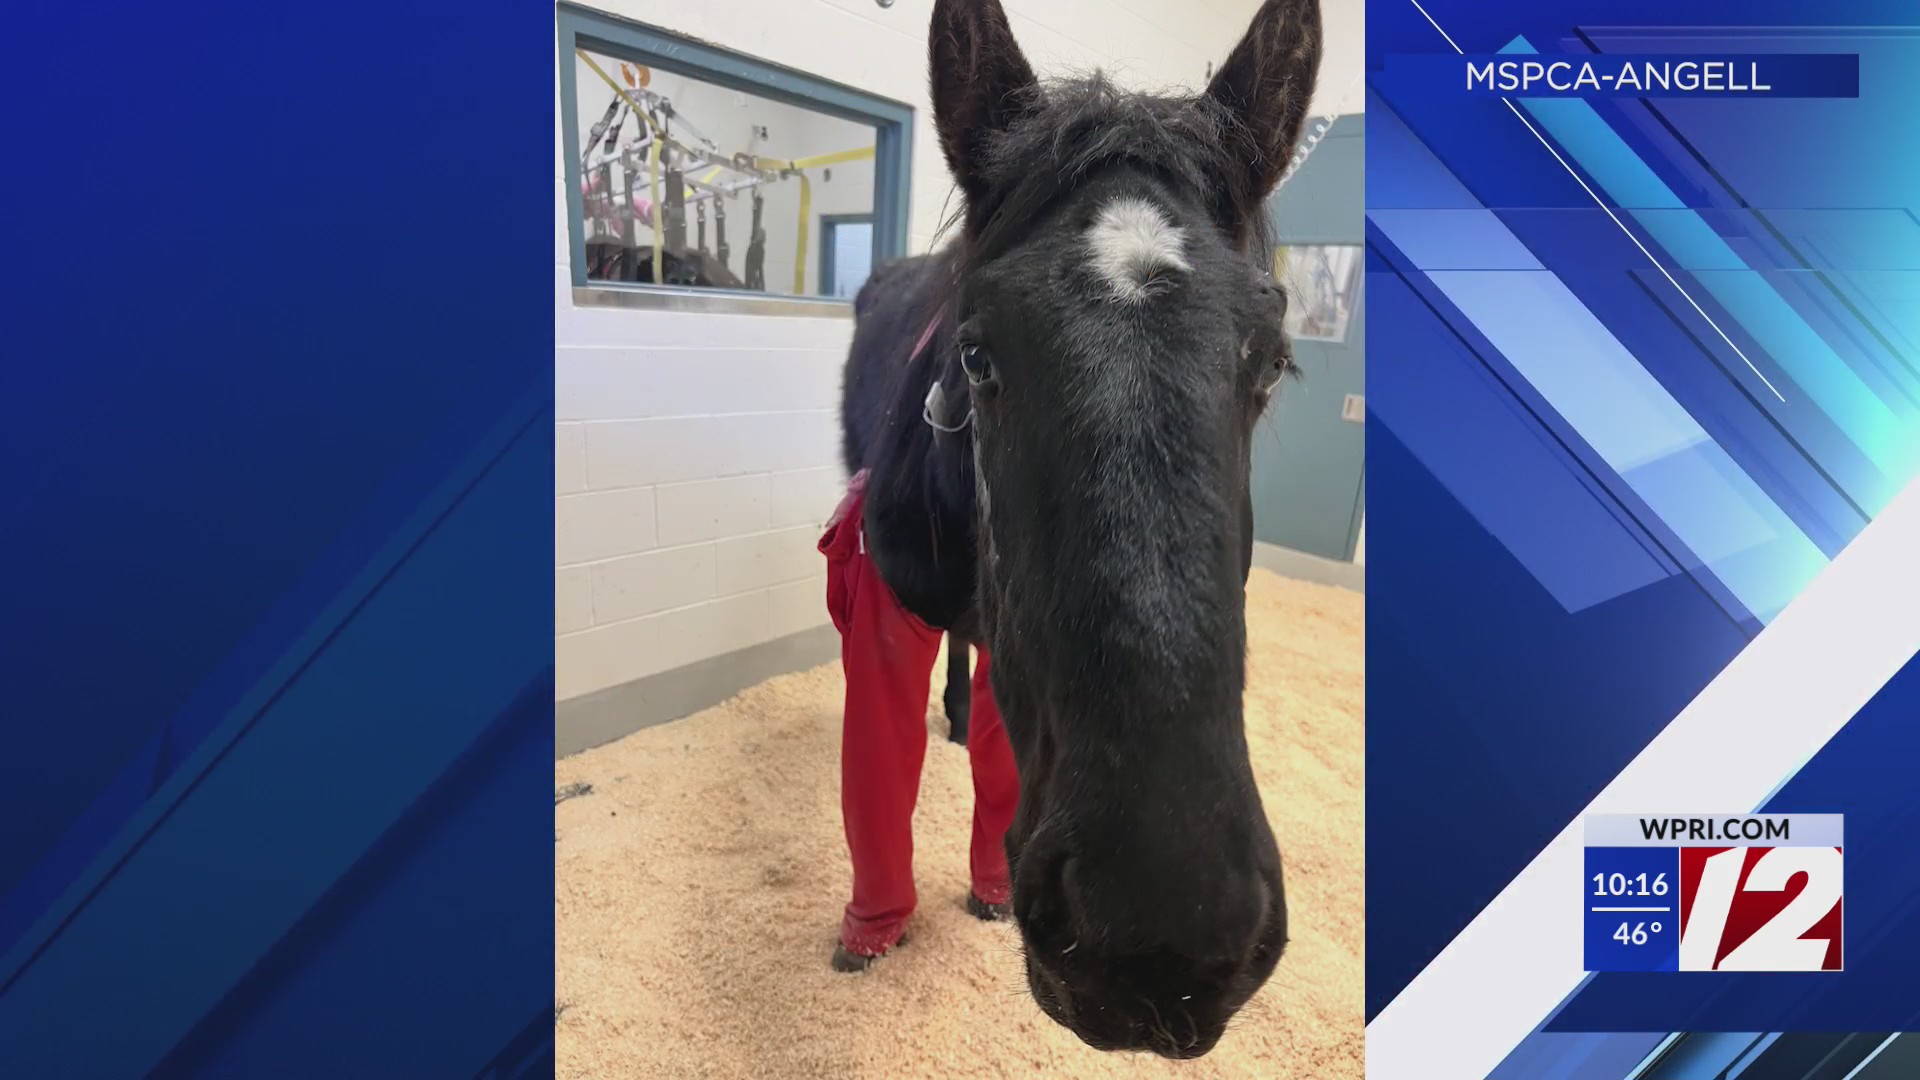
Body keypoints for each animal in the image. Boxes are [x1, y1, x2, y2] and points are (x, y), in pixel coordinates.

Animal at [837, 0, 1319, 1058]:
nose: (1161, 944)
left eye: (1273, 361)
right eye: (976, 353)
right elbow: (877, 774)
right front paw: (874, 927)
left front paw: (989, 883)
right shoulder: (886, 617)